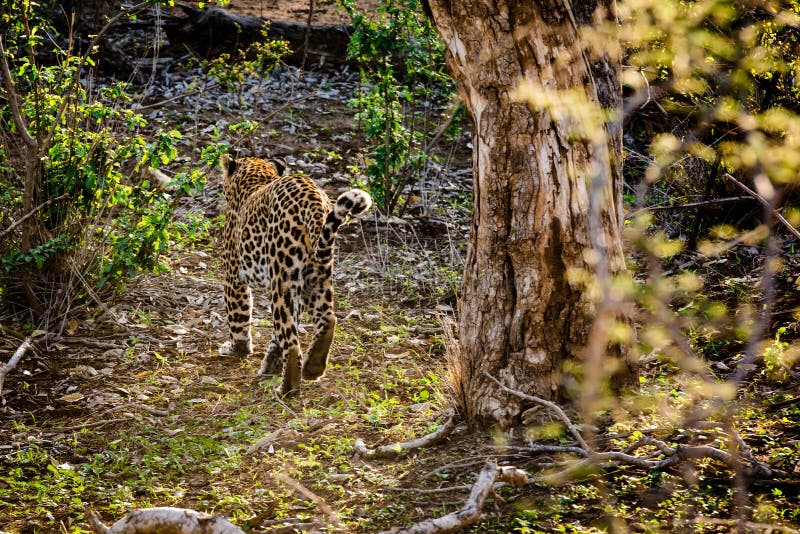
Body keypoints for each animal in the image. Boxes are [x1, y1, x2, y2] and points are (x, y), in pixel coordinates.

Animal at [218, 154, 372, 396]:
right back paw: (313, 367)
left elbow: (239, 318)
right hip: (317, 272)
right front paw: (270, 363)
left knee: (291, 343)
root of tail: (313, 200)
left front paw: (237, 349)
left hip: (283, 276)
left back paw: (286, 389)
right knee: (328, 319)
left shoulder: (233, 276)